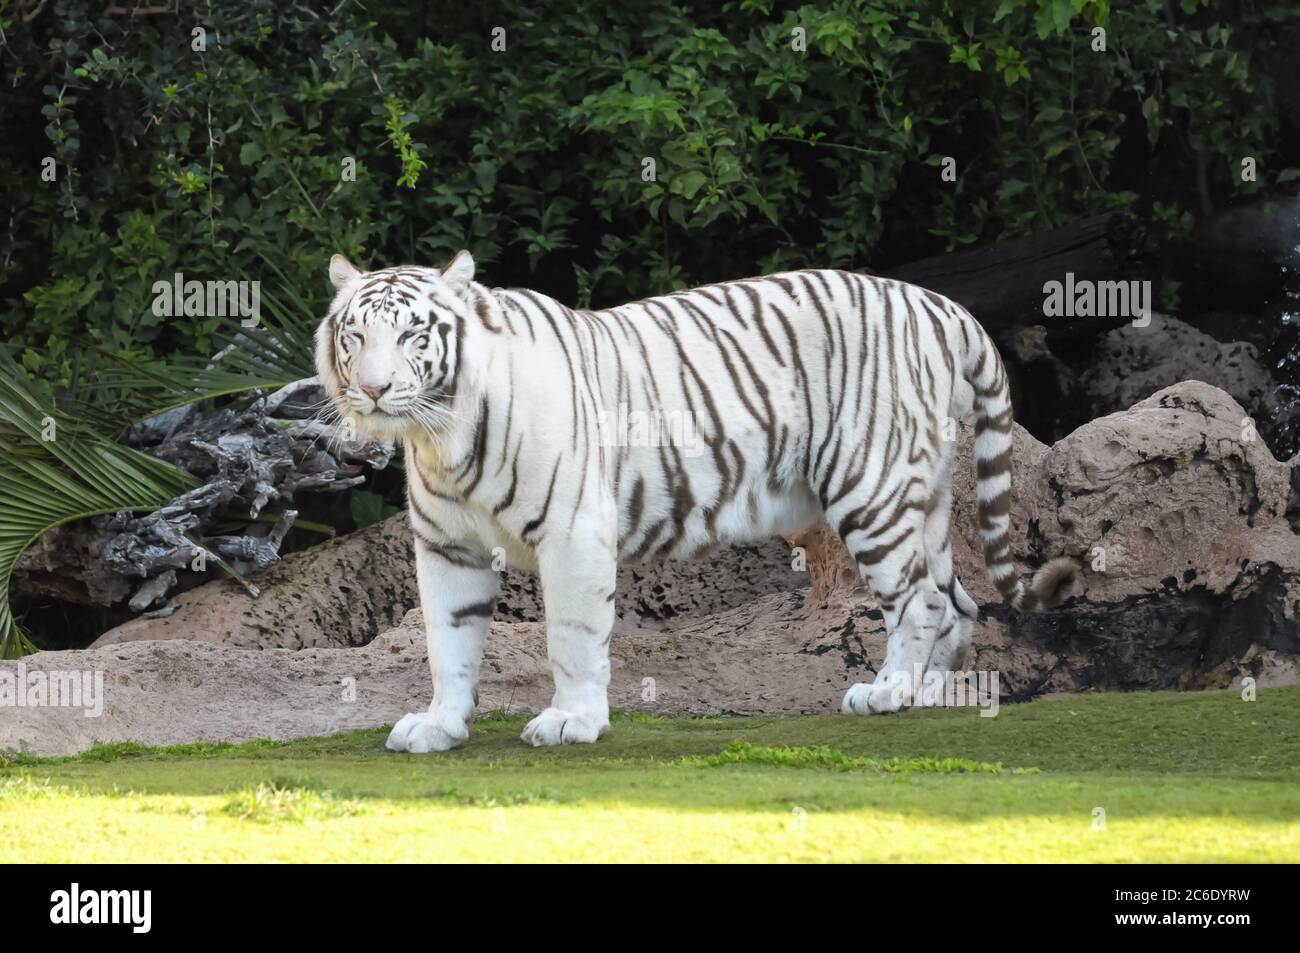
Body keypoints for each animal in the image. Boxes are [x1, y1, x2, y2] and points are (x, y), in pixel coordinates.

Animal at [315, 251, 1077, 750]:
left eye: (413, 333)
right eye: (356, 335)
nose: (375, 390)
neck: (439, 436)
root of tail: (940, 304)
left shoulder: (573, 532)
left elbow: (571, 638)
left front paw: (572, 722)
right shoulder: (449, 548)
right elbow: (447, 641)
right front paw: (439, 725)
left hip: (874, 489)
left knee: (920, 602)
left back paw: (886, 692)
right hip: (927, 503)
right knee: (955, 602)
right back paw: (921, 694)